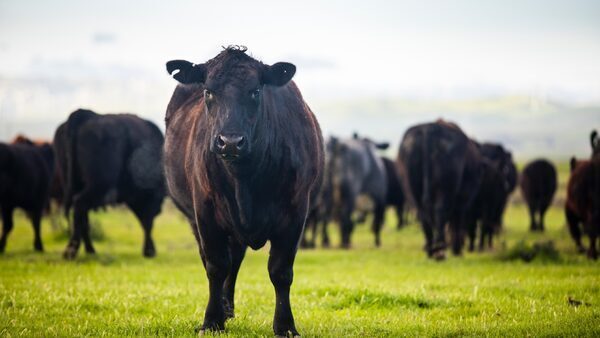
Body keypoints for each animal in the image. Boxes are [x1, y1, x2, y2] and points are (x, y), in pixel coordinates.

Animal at [54, 108, 166, 258]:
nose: (160, 210)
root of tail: (86, 115)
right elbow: (147, 222)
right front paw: (149, 250)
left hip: (73, 184)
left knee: (82, 215)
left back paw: (90, 250)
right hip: (98, 186)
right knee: (80, 206)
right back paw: (71, 251)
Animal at [163, 46, 324, 336]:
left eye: (255, 91)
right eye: (208, 91)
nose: (230, 141)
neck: (245, 181)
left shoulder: (296, 212)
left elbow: (281, 271)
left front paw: (285, 325)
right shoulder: (204, 212)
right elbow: (216, 266)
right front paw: (211, 321)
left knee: (235, 259)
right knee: (219, 261)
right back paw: (223, 309)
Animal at [398, 120, 482, 260]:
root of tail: (429, 128)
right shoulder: (463, 200)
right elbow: (456, 221)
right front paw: (457, 250)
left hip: (413, 191)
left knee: (424, 215)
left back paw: (431, 250)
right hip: (445, 191)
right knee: (440, 211)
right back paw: (440, 250)